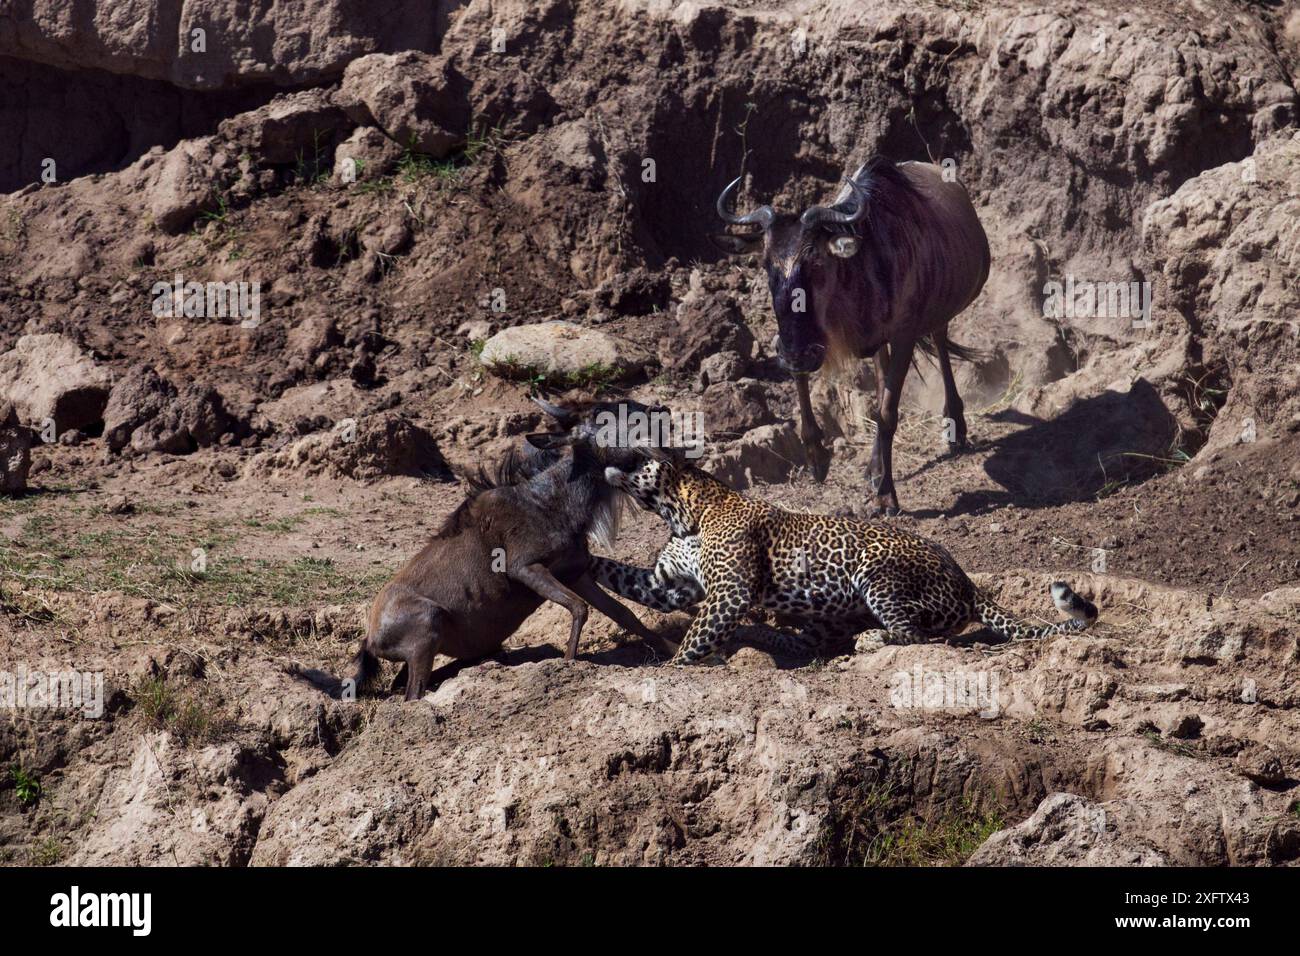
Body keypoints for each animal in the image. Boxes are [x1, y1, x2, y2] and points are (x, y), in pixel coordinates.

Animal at [587, 446, 1098, 665]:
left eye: (636, 452)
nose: (604, 453)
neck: (681, 515)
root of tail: (969, 583)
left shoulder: (727, 594)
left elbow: (694, 639)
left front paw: (672, 668)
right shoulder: (669, 586)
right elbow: (619, 573)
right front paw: (576, 557)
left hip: (879, 573)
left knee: (918, 636)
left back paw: (871, 640)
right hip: (827, 610)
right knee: (810, 643)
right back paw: (763, 636)